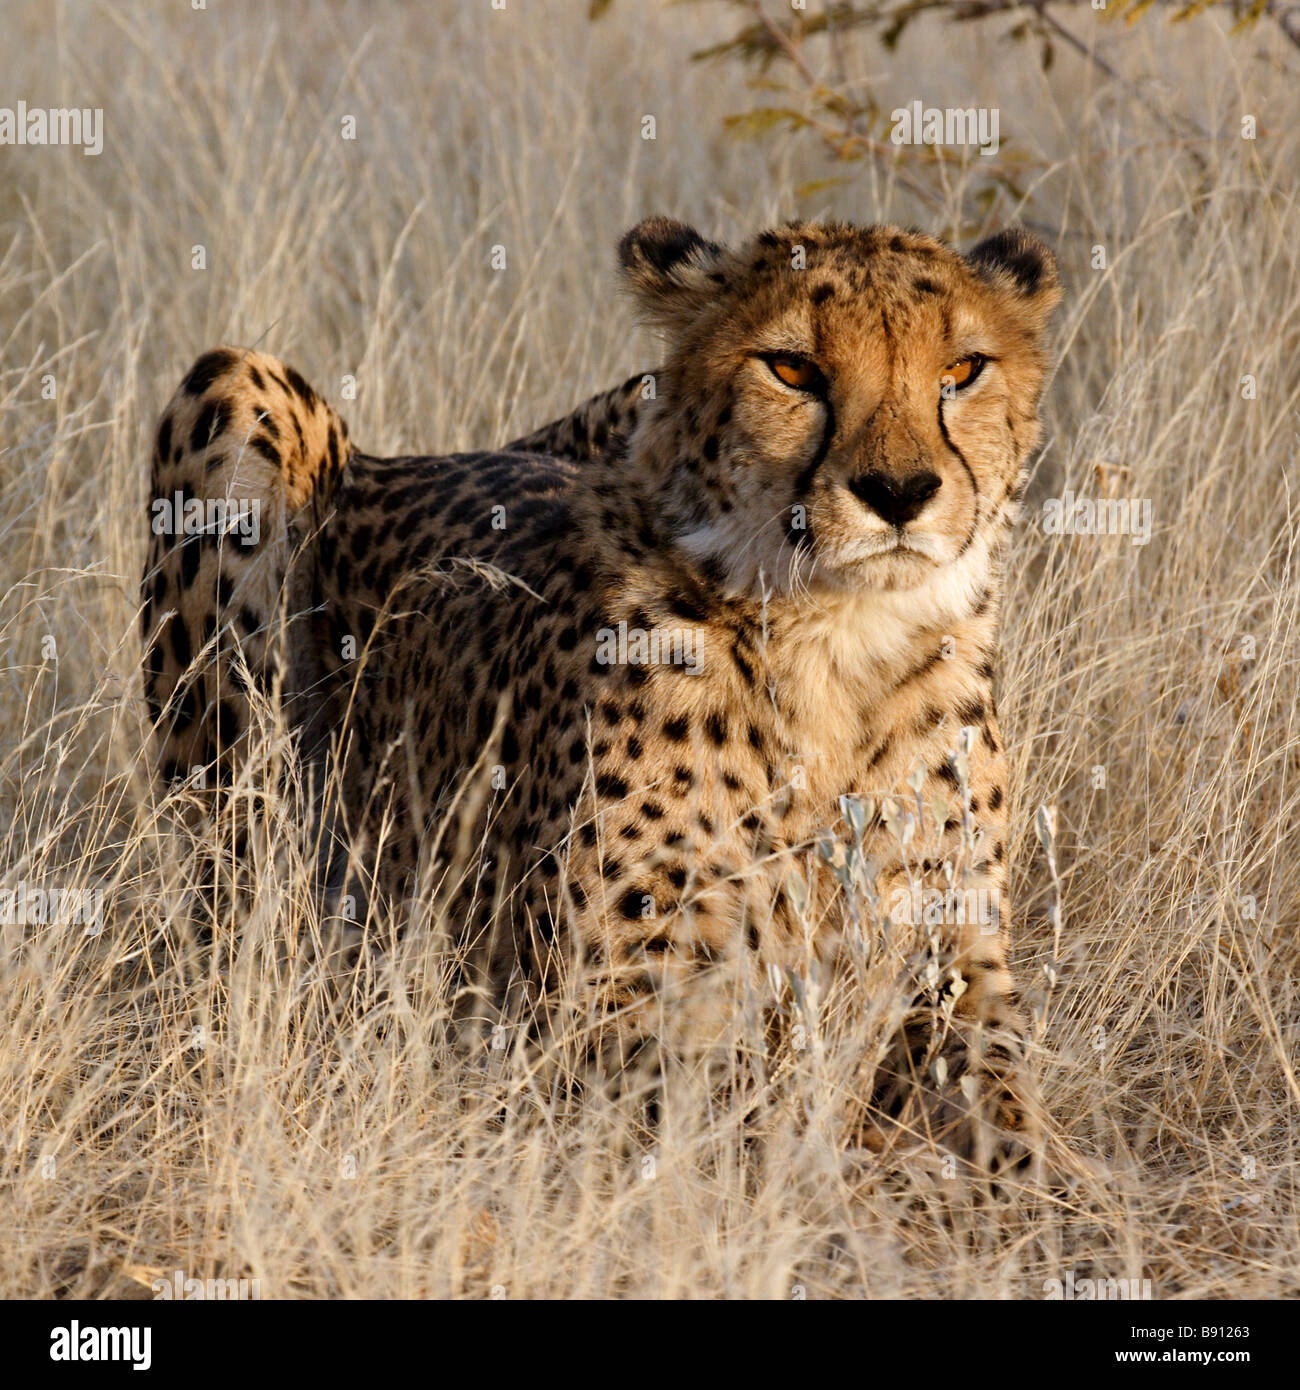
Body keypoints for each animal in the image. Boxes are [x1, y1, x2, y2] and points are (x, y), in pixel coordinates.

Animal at [141, 216, 1061, 1170]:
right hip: (238, 394)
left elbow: (1011, 1110)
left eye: (963, 370)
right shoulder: (605, 1000)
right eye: (793, 369)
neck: (839, 643)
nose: (901, 492)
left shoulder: (953, 954)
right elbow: (722, 1129)